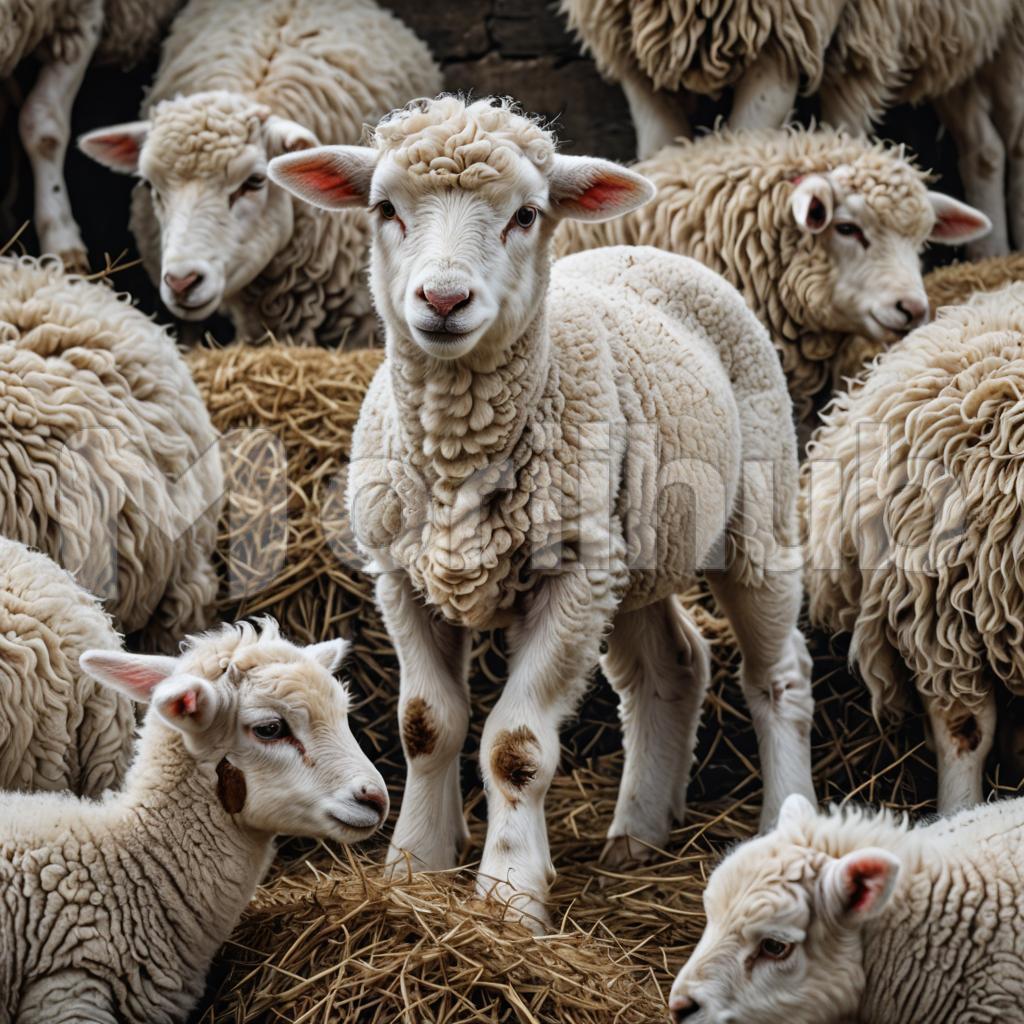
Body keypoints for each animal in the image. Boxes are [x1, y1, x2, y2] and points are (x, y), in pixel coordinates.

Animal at [269, 95, 815, 930]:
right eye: (385, 209)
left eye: (525, 215)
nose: (443, 300)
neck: (460, 453)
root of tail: (652, 250)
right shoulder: (402, 576)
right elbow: (425, 726)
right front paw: (414, 870)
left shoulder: (572, 580)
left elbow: (515, 748)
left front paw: (508, 899)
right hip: (635, 547)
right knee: (673, 667)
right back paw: (637, 834)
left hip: (756, 514)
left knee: (780, 673)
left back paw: (783, 818)